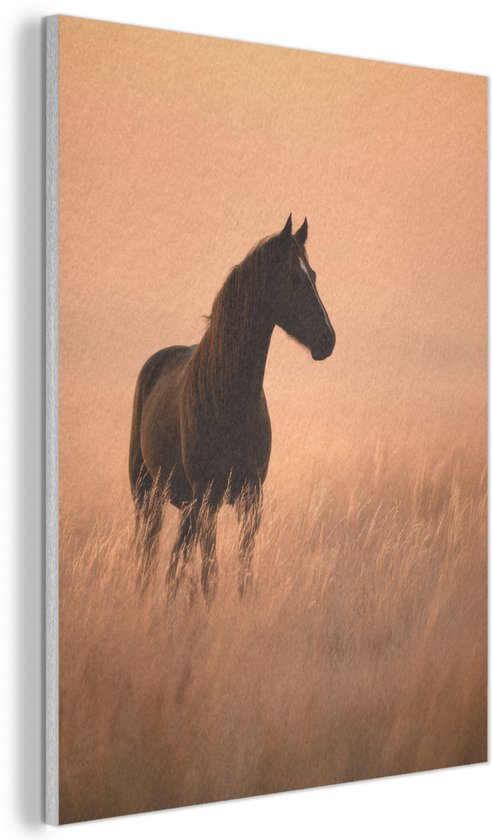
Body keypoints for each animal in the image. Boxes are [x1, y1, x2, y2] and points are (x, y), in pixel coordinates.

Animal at [129, 215, 335, 601]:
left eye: (313, 275)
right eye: (293, 277)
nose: (328, 340)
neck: (230, 401)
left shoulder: (250, 499)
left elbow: (243, 574)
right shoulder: (208, 500)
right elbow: (210, 576)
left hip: (186, 505)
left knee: (175, 563)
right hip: (148, 494)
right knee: (148, 556)